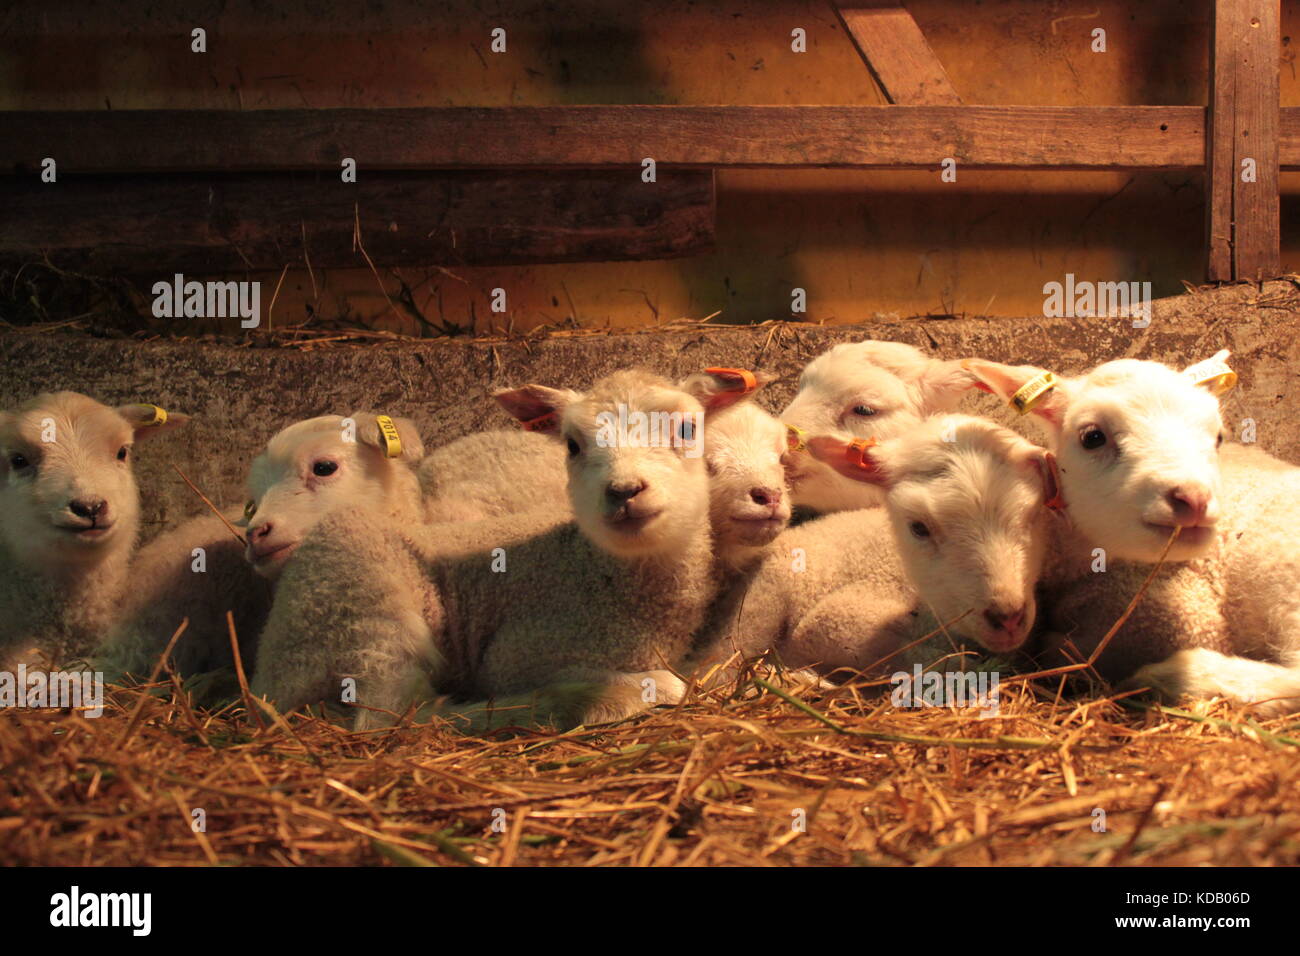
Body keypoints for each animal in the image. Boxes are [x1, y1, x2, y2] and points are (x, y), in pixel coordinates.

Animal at [252, 369, 730, 732]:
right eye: (572, 445)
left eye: (687, 429)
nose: (625, 491)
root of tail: (264, 670)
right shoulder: (518, 653)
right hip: (363, 601)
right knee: (393, 718)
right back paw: (599, 698)